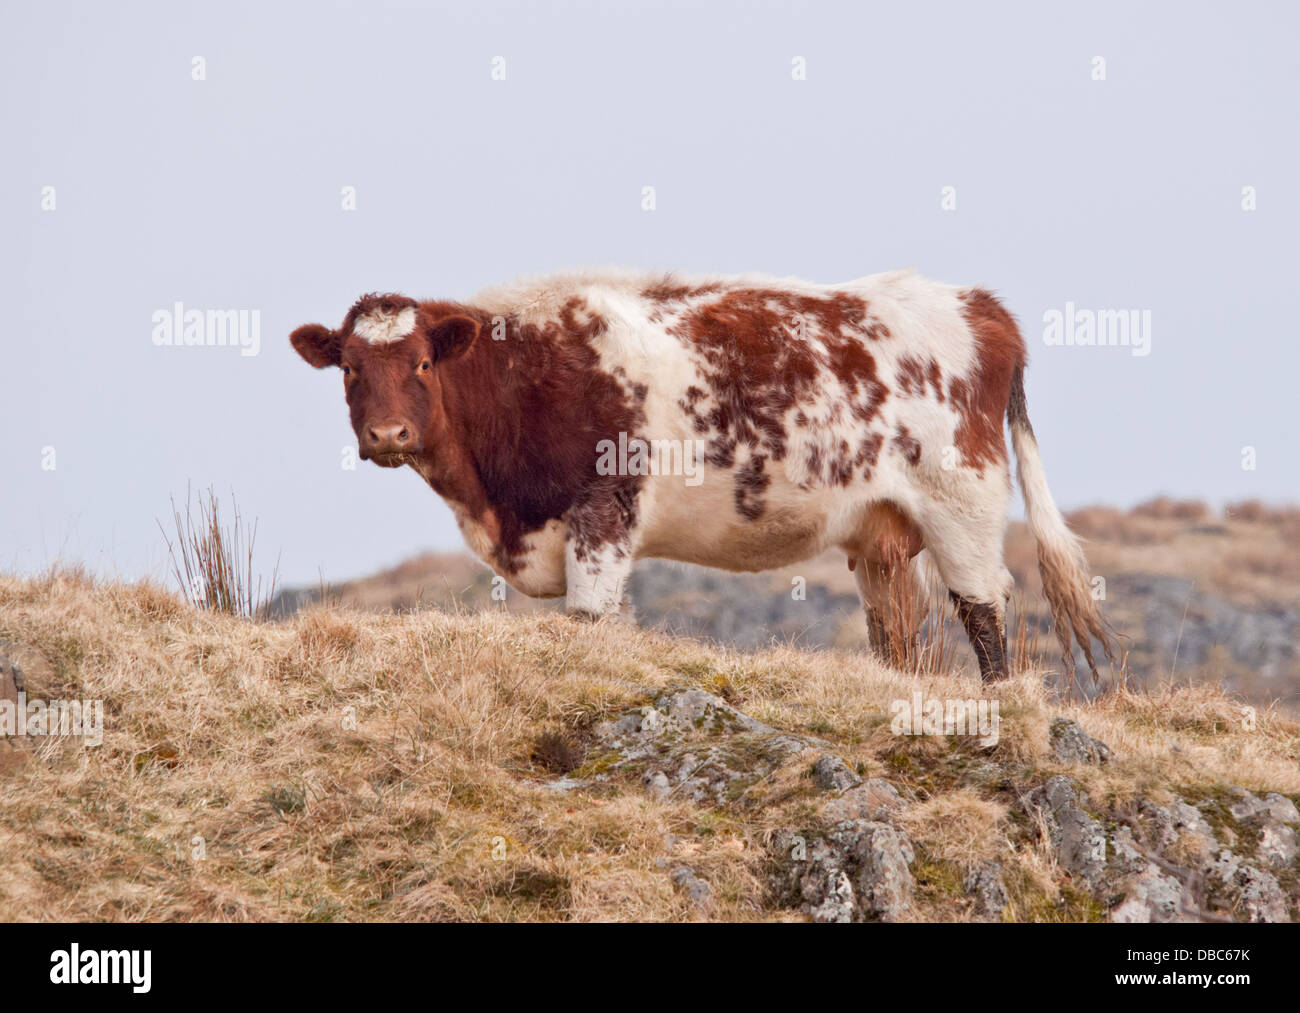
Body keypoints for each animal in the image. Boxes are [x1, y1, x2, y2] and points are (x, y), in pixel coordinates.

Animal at [290, 269, 1114, 685]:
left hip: (961, 498)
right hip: (882, 536)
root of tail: (978, 304)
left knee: (984, 608)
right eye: (350, 368)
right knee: (896, 637)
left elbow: (588, 620)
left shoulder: (602, 511)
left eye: (424, 363)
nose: (387, 435)